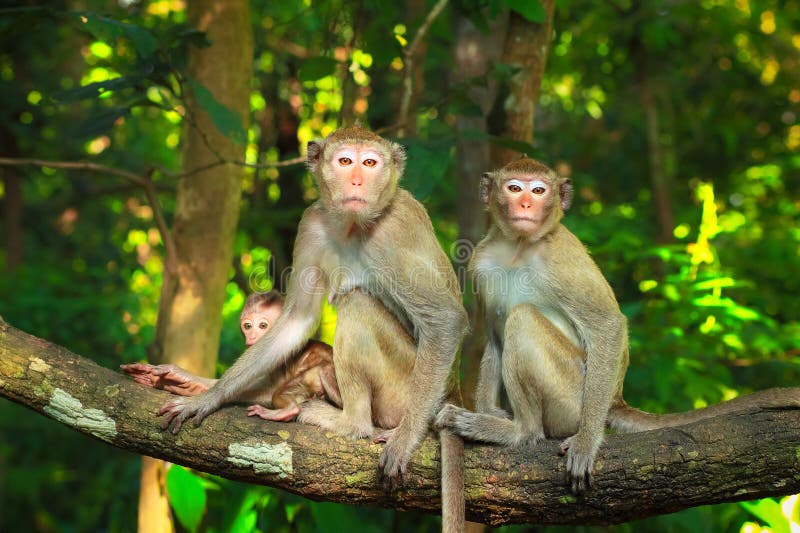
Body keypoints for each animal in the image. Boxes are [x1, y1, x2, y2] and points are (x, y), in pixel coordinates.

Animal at [121, 291, 341, 421]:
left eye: (263, 325)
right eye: (248, 326)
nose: (252, 337)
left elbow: (269, 391)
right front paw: (181, 382)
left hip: (316, 376)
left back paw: (288, 410)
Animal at [157, 125, 469, 532]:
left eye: (371, 163)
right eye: (346, 161)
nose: (357, 181)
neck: (354, 224)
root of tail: (451, 394)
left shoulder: (395, 230)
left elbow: (445, 318)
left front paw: (403, 442)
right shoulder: (311, 224)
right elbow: (297, 320)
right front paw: (207, 396)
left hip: (403, 390)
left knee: (358, 303)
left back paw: (351, 423)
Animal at [435, 156, 800, 494]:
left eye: (538, 191)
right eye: (514, 188)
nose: (525, 204)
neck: (519, 248)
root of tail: (615, 401)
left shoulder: (561, 258)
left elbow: (608, 326)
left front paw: (586, 443)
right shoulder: (482, 262)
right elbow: (494, 338)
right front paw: (488, 411)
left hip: (574, 396)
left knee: (523, 320)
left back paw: (522, 431)